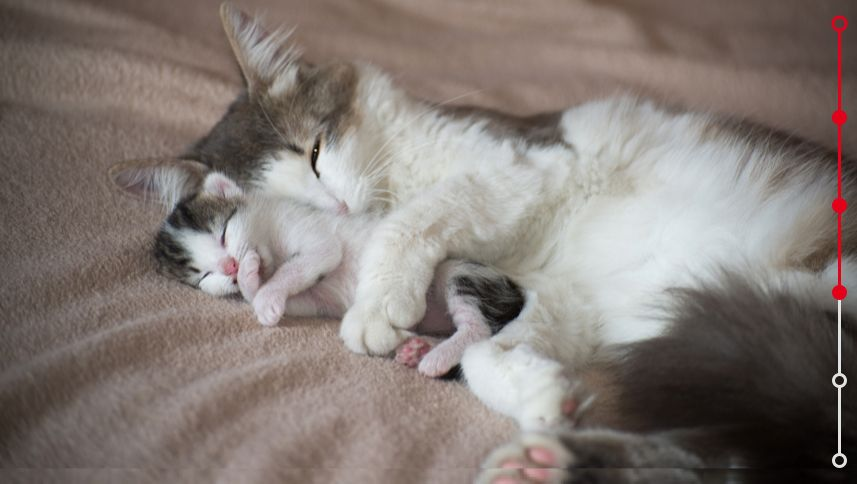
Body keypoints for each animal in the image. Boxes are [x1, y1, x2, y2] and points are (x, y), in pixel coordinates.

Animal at [151, 172, 524, 380]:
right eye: (204, 276)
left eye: (224, 233)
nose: (229, 266)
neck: (269, 242)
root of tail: (519, 295)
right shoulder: (315, 300)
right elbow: (291, 297)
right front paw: (253, 283)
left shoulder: (311, 233)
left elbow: (302, 263)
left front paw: (261, 286)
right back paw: (415, 349)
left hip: (460, 271)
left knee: (478, 329)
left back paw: (435, 359)